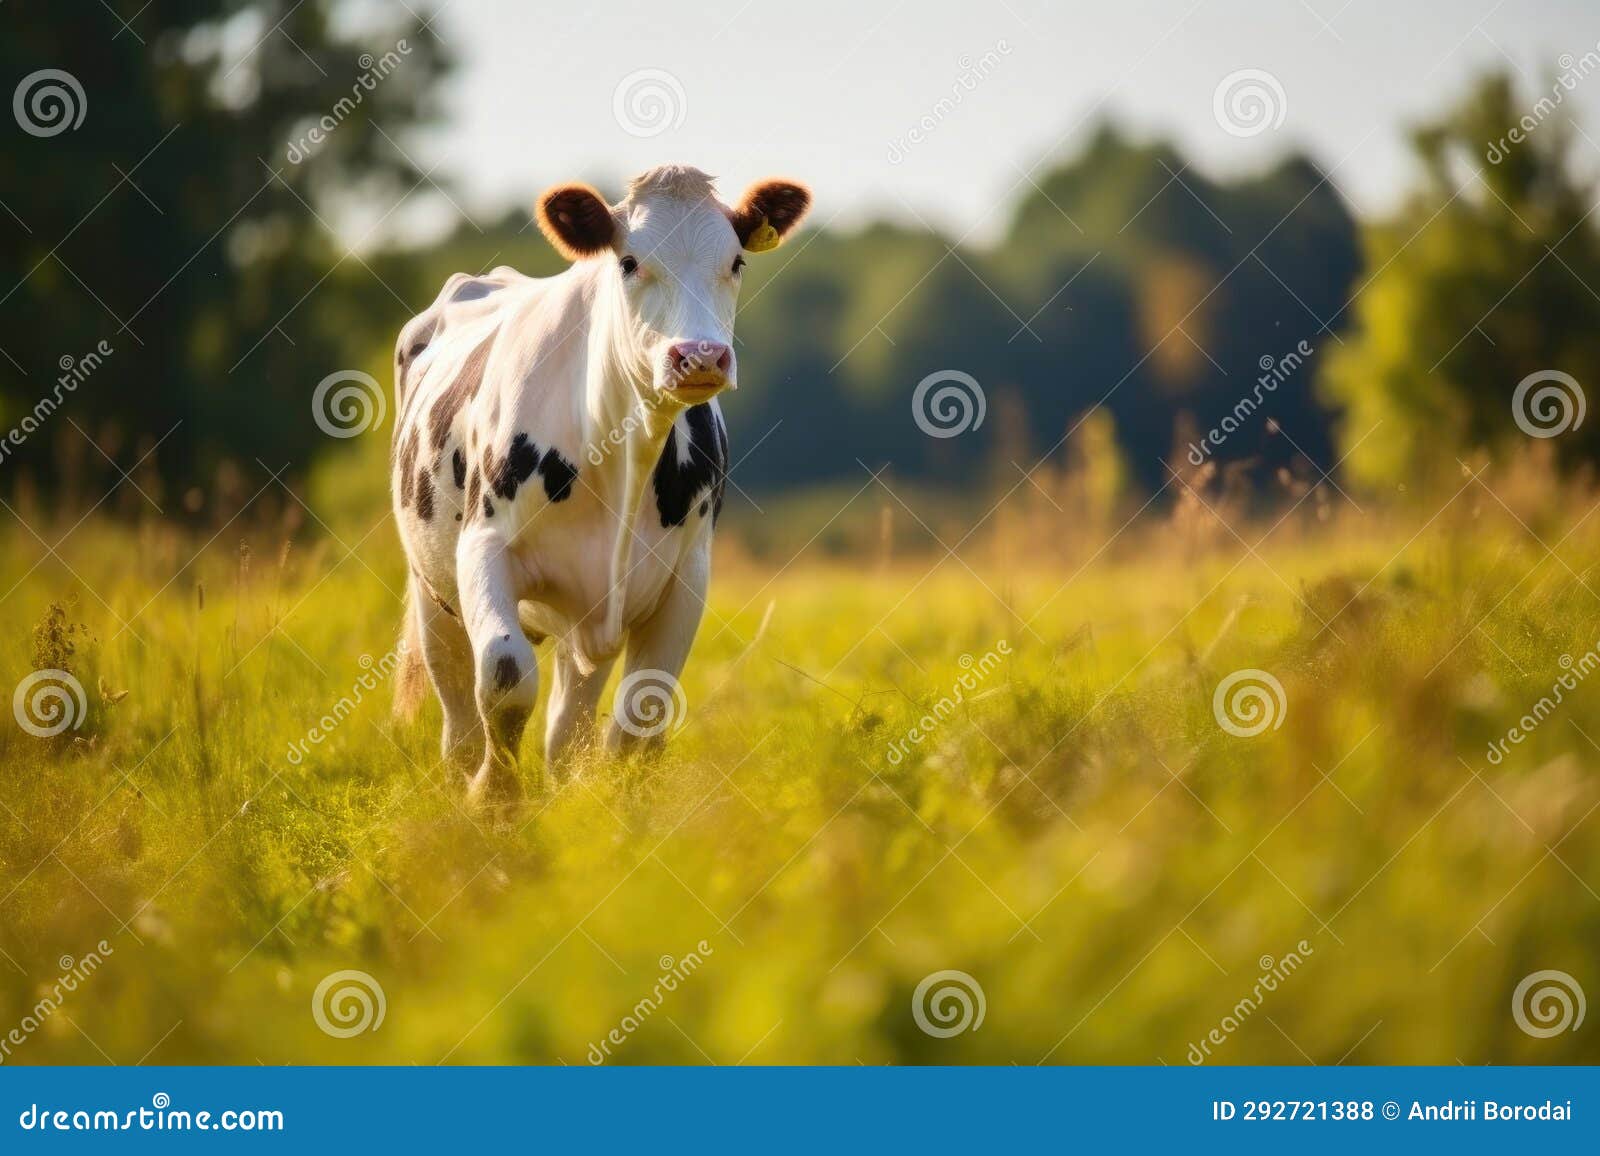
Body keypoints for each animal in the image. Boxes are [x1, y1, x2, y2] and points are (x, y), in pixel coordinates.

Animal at [389, 165, 810, 803]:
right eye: (629, 261)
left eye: (736, 261)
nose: (701, 356)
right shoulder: (483, 547)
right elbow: (506, 680)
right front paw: (494, 799)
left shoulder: (687, 575)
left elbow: (642, 713)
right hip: (430, 590)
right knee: (459, 718)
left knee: (567, 733)